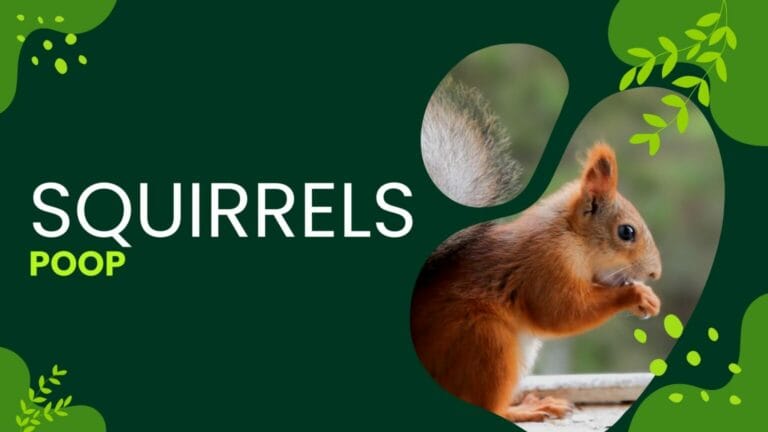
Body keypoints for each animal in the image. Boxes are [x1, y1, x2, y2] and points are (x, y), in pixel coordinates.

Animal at [412, 76, 662, 422]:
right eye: (626, 232)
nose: (655, 273)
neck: (571, 237)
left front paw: (647, 297)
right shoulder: (544, 266)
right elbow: (562, 312)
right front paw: (634, 294)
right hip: (485, 340)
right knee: (488, 405)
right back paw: (525, 409)